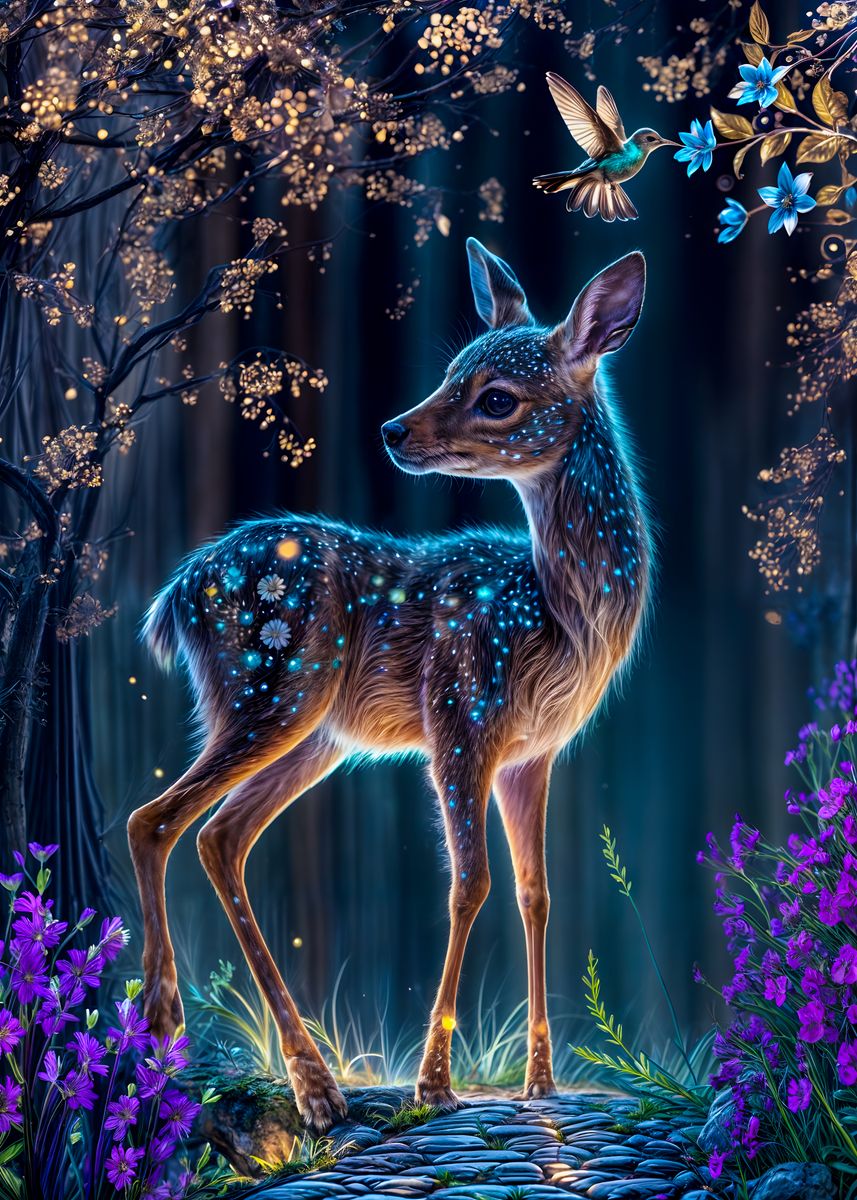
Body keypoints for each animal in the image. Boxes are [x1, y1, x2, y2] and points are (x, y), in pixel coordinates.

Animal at [128, 237, 653, 1132]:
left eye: (497, 396)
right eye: (450, 370)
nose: (392, 429)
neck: (559, 621)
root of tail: (175, 595)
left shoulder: (531, 754)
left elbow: (535, 893)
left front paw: (540, 1082)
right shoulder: (460, 715)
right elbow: (468, 885)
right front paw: (433, 1085)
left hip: (314, 736)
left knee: (218, 835)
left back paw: (310, 1078)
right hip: (271, 691)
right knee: (155, 818)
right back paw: (181, 1034)